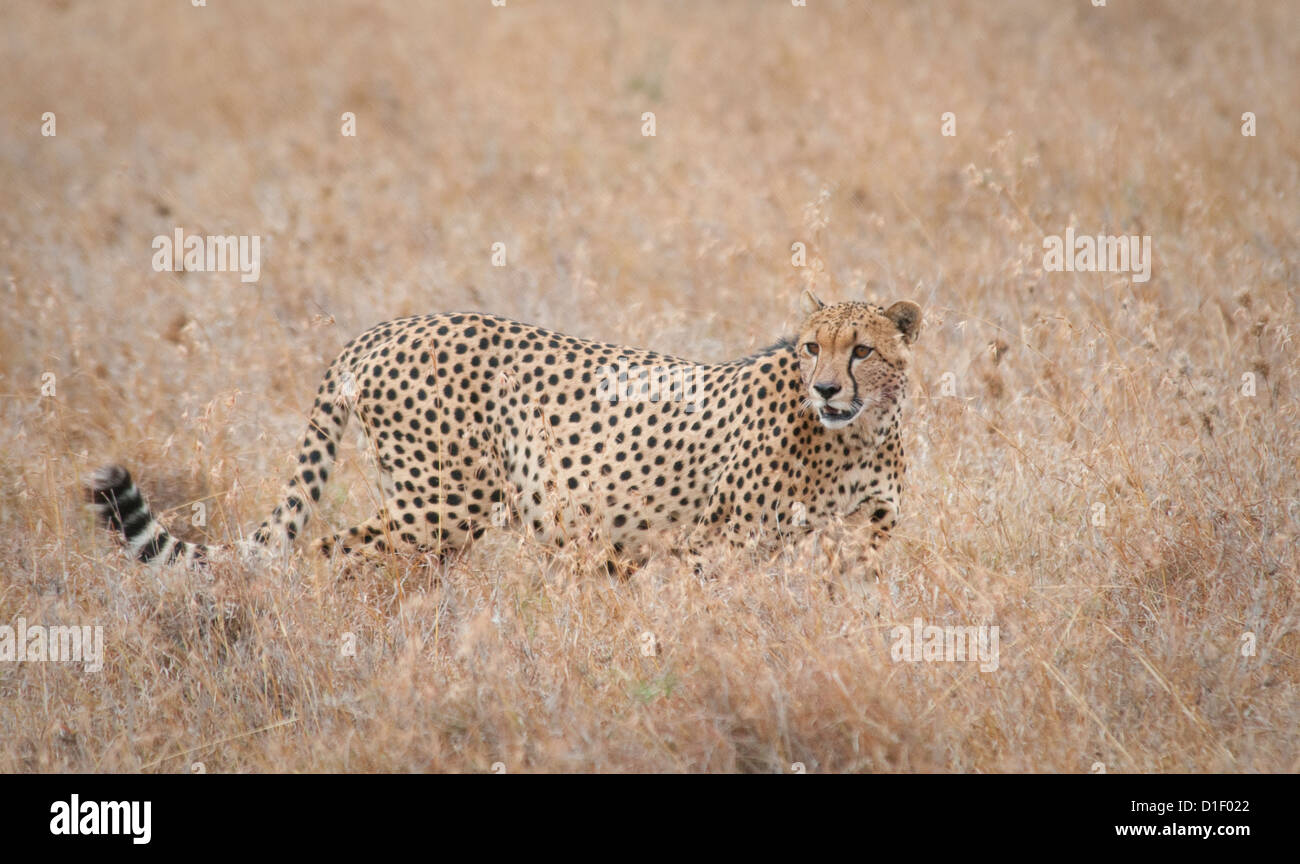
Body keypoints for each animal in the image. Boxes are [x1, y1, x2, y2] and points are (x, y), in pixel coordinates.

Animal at [88, 290, 921, 571]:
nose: (825, 387)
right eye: (811, 347)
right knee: (329, 555)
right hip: (438, 507)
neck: (855, 433)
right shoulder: (725, 544)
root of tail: (385, 329)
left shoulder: (873, 524)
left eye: (861, 349)